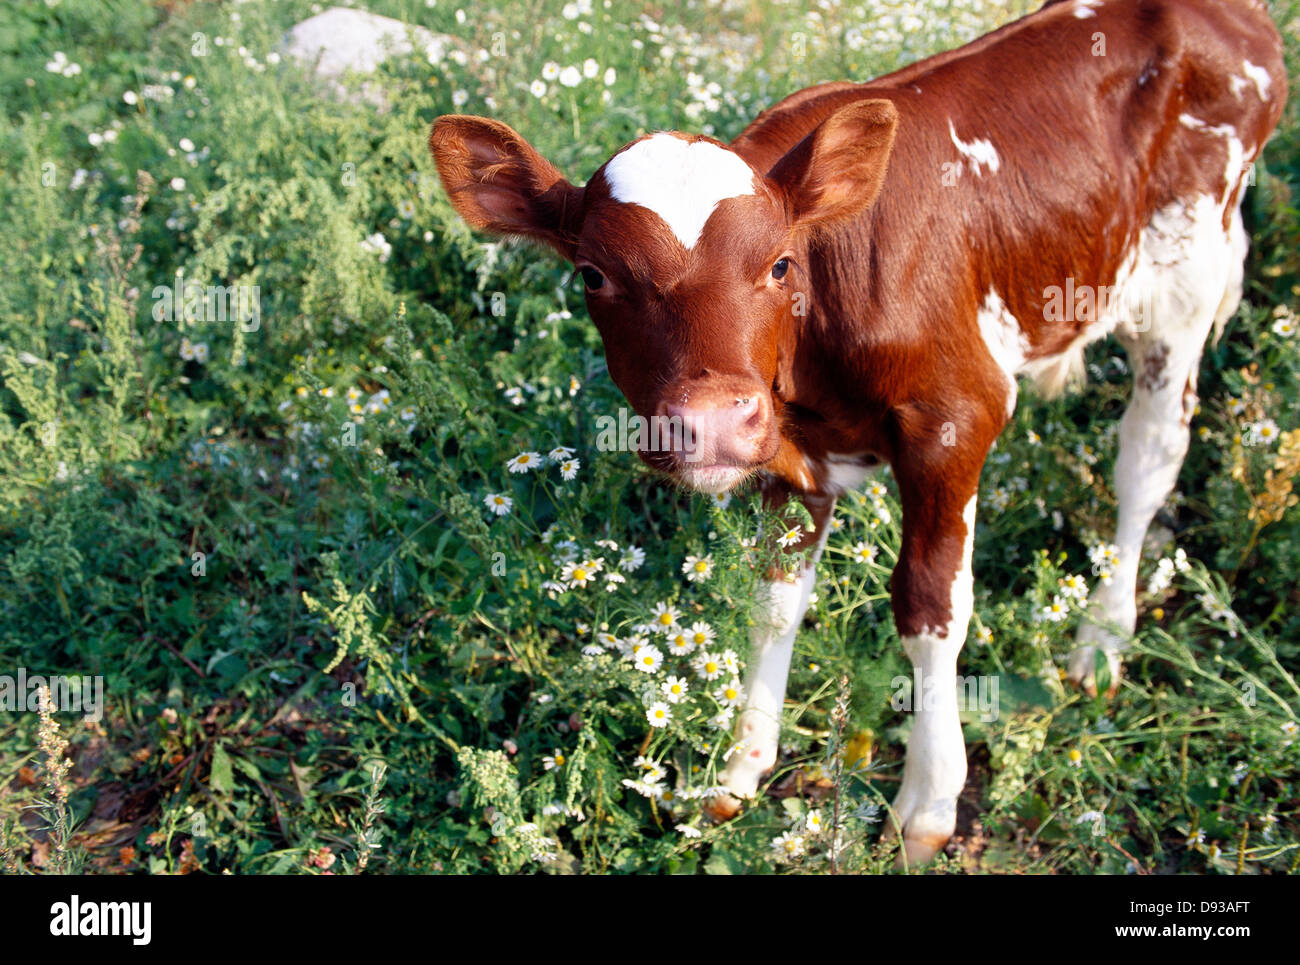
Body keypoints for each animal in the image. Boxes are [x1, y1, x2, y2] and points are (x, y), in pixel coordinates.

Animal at [430, 0, 1286, 864]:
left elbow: (929, 607)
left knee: (1147, 461)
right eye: (593, 275)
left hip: (1186, 283)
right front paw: (739, 770)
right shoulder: (788, 447)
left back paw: (1102, 635)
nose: (710, 422)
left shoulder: (958, 415)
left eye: (779, 264)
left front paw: (928, 801)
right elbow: (774, 599)